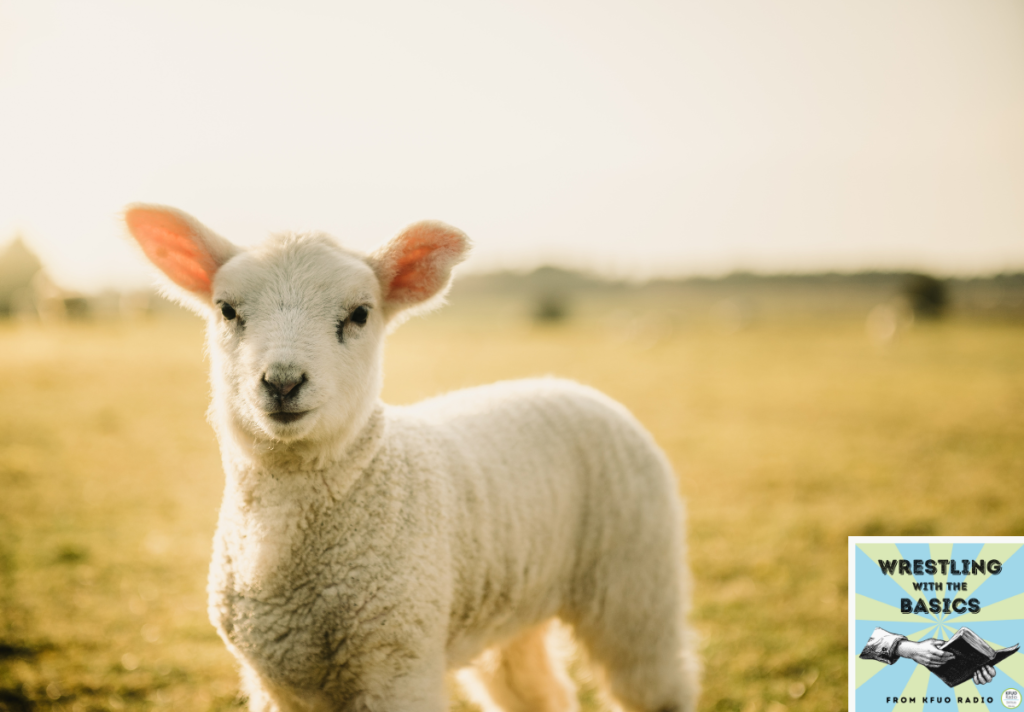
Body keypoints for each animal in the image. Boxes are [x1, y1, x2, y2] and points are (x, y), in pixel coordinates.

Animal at [124, 204, 698, 712]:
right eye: (227, 310)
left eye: (360, 314)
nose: (283, 383)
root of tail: (570, 385)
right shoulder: (273, 679)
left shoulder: (397, 662)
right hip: (515, 612)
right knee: (539, 693)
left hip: (637, 584)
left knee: (656, 684)